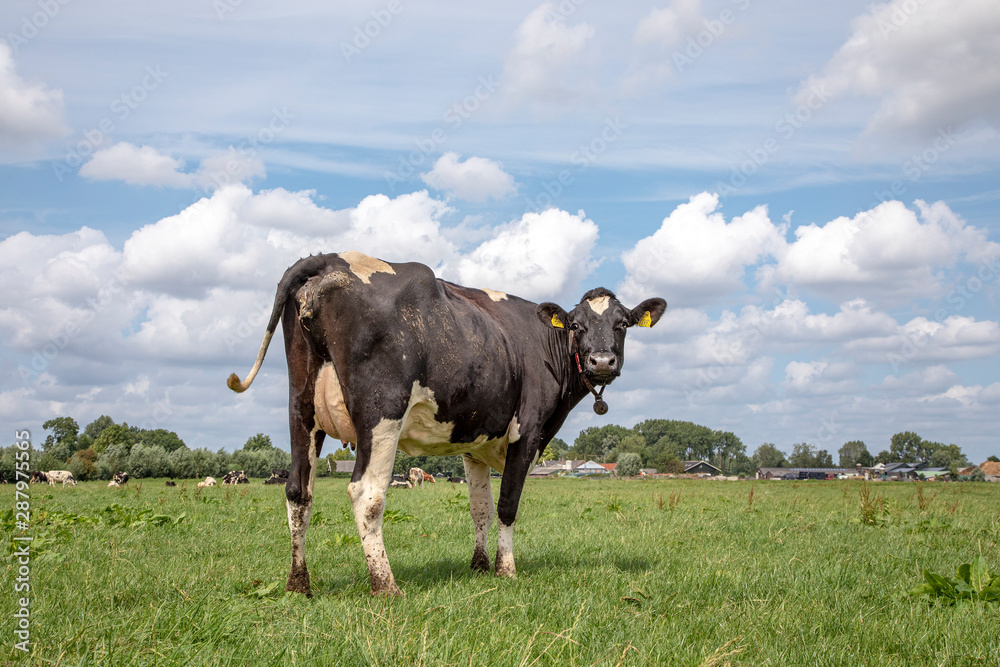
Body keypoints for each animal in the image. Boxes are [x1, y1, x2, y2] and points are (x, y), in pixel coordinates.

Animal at [227, 251, 665, 597]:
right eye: (575, 326)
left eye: (622, 324)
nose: (602, 361)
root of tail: (330, 257)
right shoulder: (526, 433)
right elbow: (507, 506)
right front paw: (506, 570)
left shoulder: (475, 445)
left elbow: (480, 508)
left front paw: (479, 565)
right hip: (382, 412)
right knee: (366, 494)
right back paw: (385, 586)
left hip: (301, 409)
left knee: (298, 491)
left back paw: (298, 584)